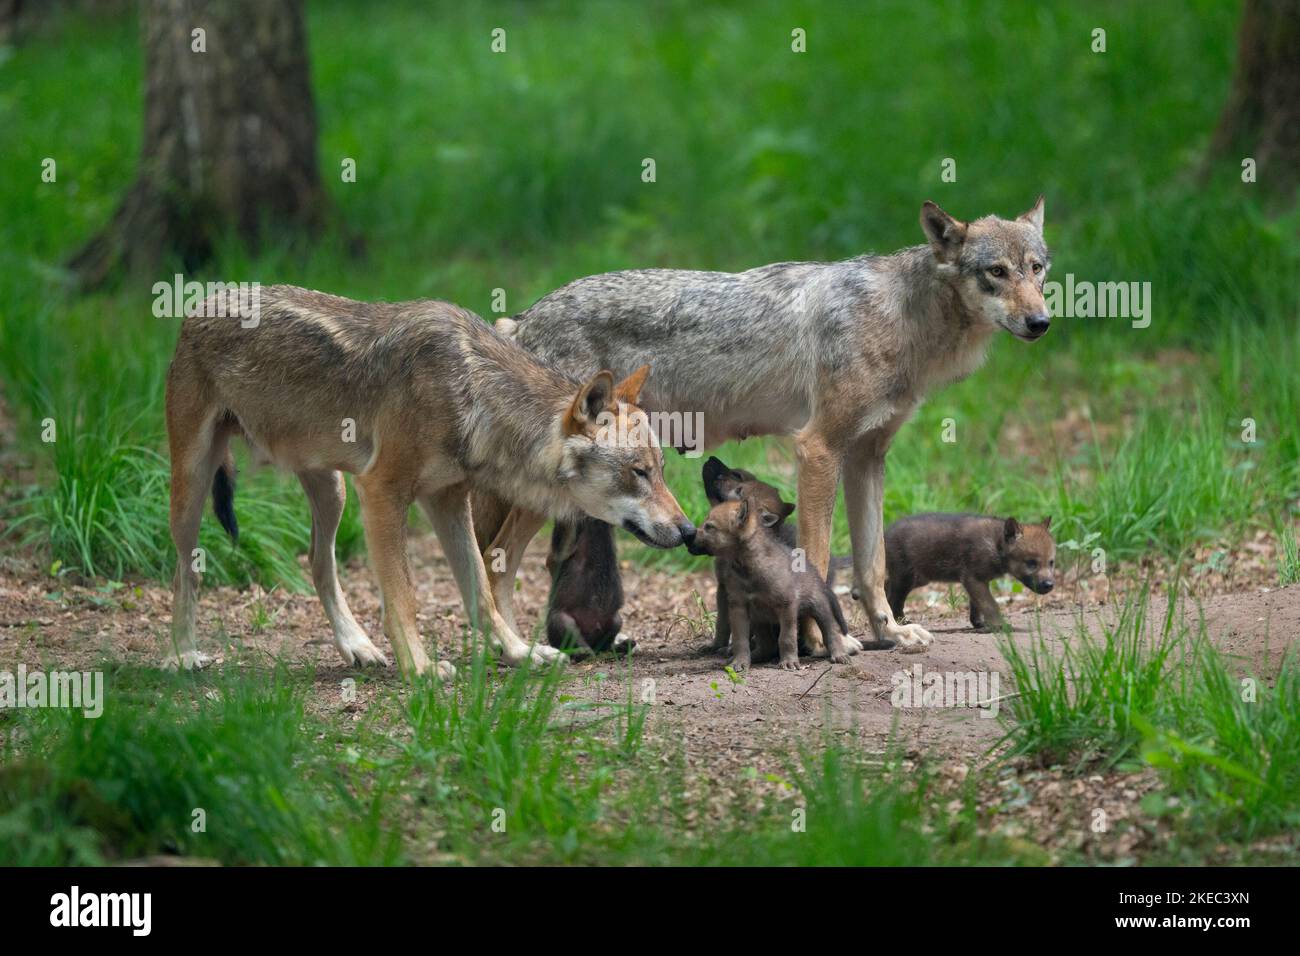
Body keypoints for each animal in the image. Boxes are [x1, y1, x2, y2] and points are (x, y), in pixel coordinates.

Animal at [164, 285, 693, 678]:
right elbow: (404, 596)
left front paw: (519, 653)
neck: (472, 391)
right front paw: (419, 668)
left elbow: (481, 590)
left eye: (661, 470)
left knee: (319, 562)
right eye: (639, 472)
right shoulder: (381, 491)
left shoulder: (447, 499)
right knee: (186, 568)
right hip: (192, 486)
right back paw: (183, 655)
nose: (689, 530)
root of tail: (201, 304)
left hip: (331, 491)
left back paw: (357, 647)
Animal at [477, 198, 1052, 656]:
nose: (1042, 322)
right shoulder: (818, 450)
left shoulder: (867, 458)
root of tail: (518, 320)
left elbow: (872, 566)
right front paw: (823, 643)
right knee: (494, 562)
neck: (896, 318)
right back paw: (516, 653)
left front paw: (889, 634)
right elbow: (817, 561)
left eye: (1037, 269)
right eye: (996, 272)